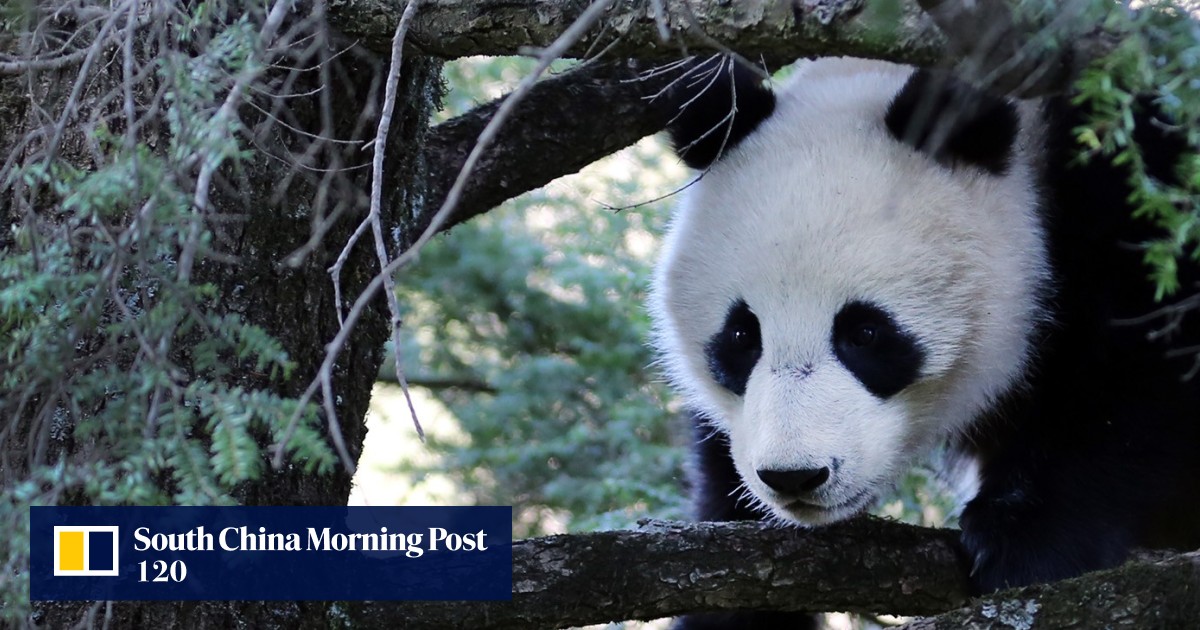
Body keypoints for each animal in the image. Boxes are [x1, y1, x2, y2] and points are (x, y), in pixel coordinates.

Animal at [650, 55, 1200, 626]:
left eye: (865, 333)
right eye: (742, 335)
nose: (794, 477)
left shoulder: (1130, 185)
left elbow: (1140, 372)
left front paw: (1026, 541)